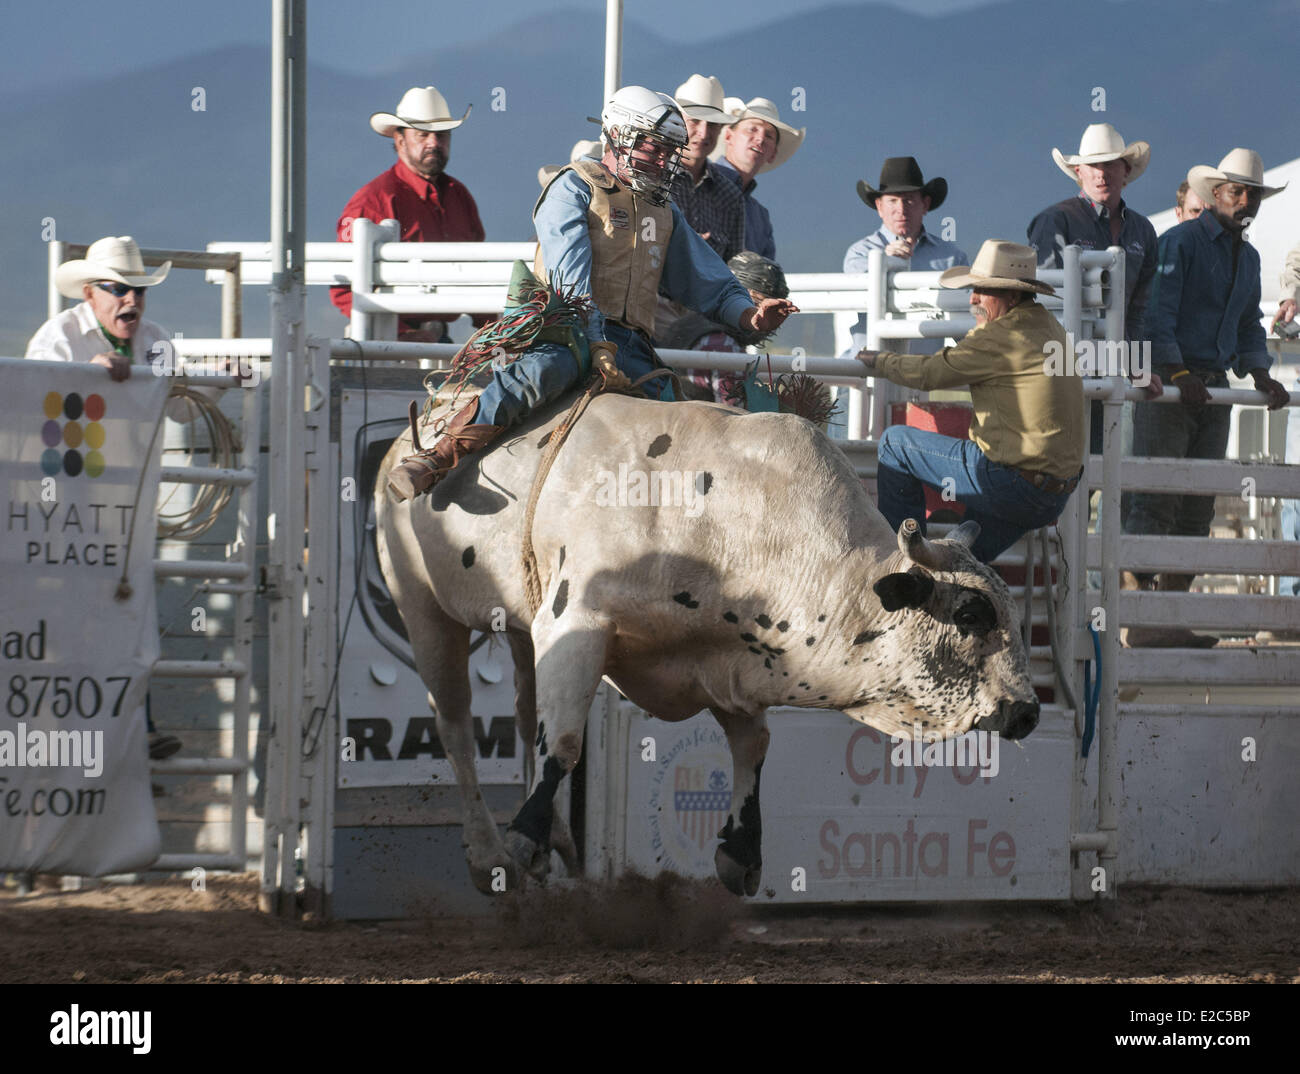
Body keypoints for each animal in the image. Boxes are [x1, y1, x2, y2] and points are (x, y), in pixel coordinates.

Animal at [375, 389, 1040, 897]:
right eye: (973, 613)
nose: (1029, 710)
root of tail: (416, 430)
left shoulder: (733, 661)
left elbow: (754, 747)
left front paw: (741, 852)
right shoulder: (574, 621)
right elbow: (563, 741)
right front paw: (522, 838)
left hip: (516, 624)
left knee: (520, 712)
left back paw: (559, 838)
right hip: (421, 603)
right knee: (456, 725)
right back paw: (489, 853)